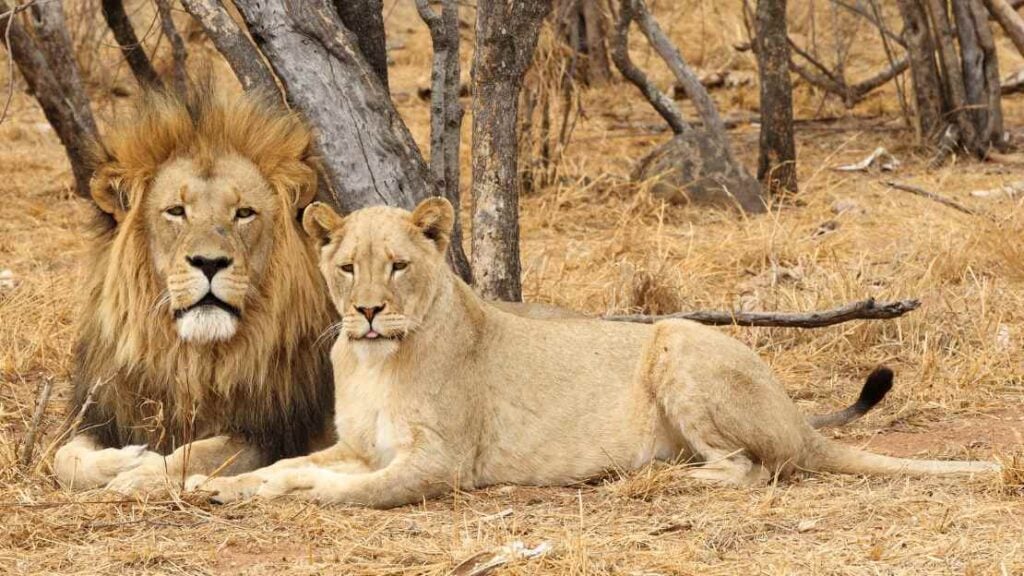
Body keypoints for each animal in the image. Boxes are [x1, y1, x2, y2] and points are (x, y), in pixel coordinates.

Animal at [52, 85, 336, 492]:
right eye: (176, 211)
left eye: (243, 213)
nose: (209, 262)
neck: (191, 360)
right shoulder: (106, 414)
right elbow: (66, 457)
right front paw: (124, 460)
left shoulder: (268, 435)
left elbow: (196, 454)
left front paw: (138, 474)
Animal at [187, 198, 993, 508]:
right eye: (347, 267)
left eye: (398, 266)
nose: (368, 312)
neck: (376, 360)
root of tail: (796, 415)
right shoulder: (360, 446)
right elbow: (289, 464)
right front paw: (217, 485)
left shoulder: (440, 463)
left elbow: (338, 489)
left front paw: (290, 495)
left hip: (675, 337)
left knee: (752, 469)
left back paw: (654, 474)